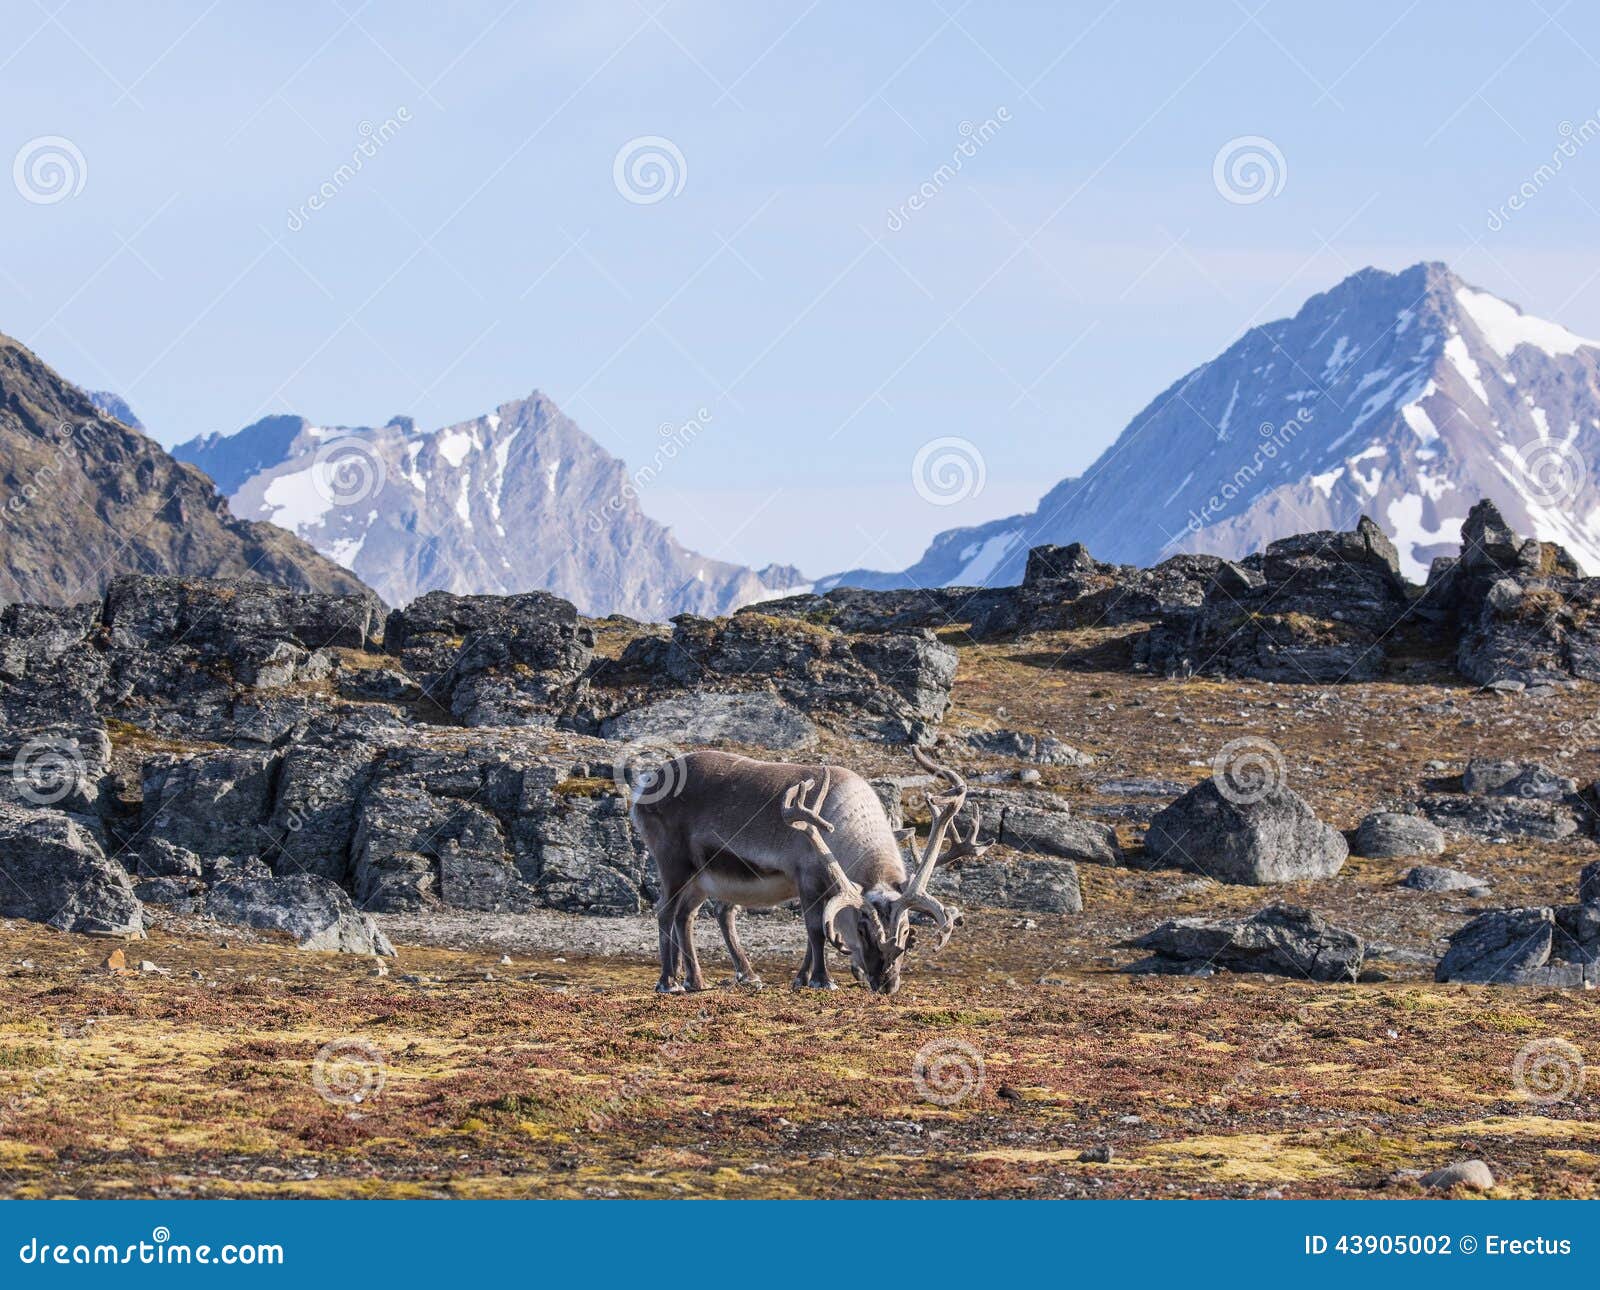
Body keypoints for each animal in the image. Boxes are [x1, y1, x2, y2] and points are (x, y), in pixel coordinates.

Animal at [627, 745, 986, 995]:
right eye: (862, 929)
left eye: (907, 931)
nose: (885, 983)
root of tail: (644, 790)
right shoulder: (807, 879)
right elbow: (816, 930)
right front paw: (821, 980)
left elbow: (819, 931)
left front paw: (801, 978)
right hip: (674, 864)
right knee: (665, 911)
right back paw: (668, 981)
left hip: (702, 879)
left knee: (688, 916)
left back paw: (702, 979)